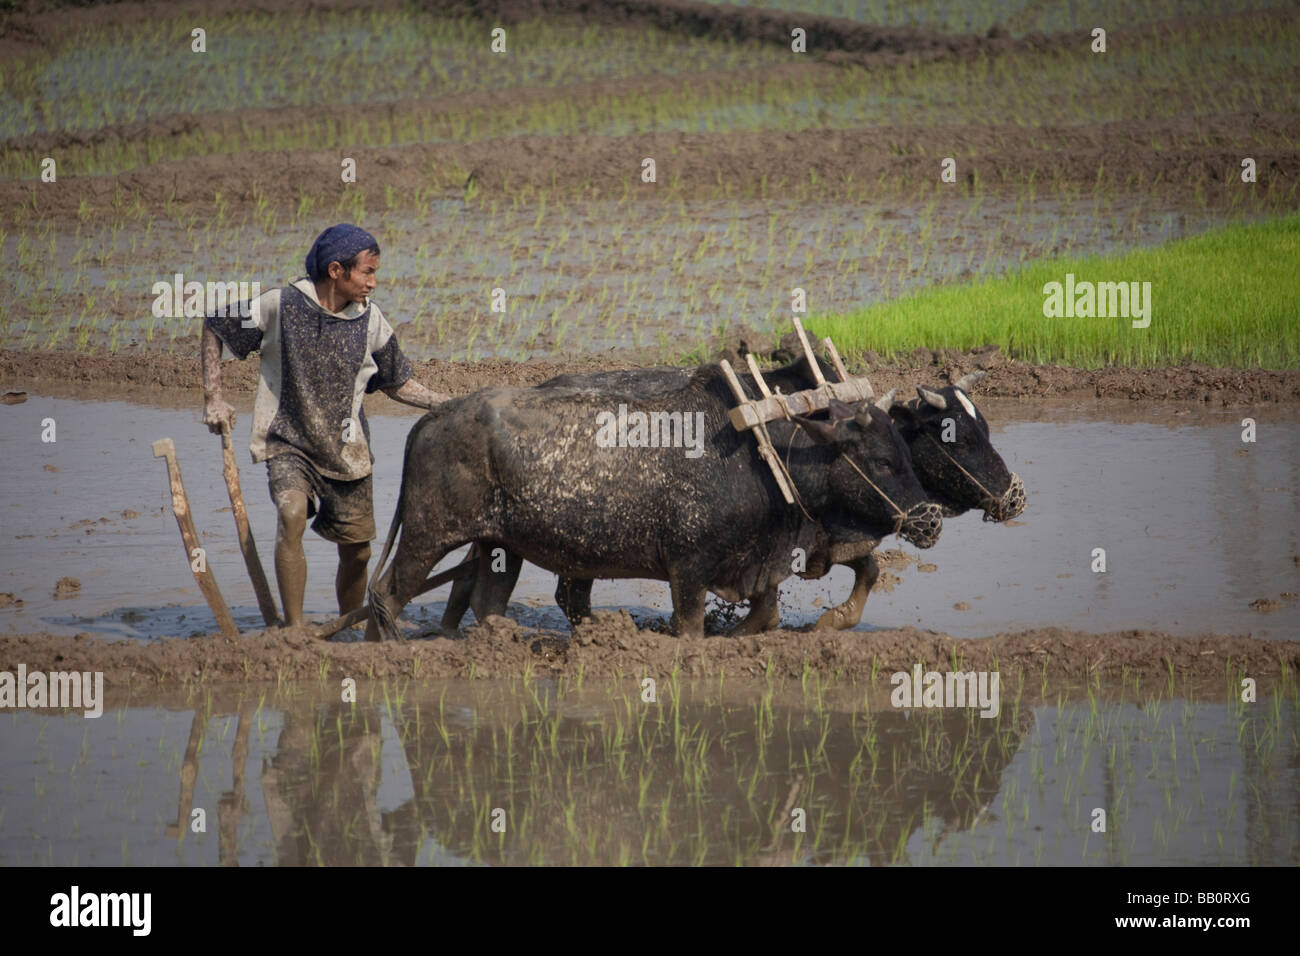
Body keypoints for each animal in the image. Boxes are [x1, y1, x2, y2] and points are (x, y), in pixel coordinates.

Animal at [363, 361, 942, 641]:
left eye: (905, 450)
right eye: (881, 461)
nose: (930, 520)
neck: (761, 456)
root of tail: (432, 418)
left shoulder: (760, 565)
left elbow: (770, 615)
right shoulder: (689, 569)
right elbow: (692, 630)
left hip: (499, 547)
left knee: (487, 606)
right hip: (429, 535)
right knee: (388, 594)